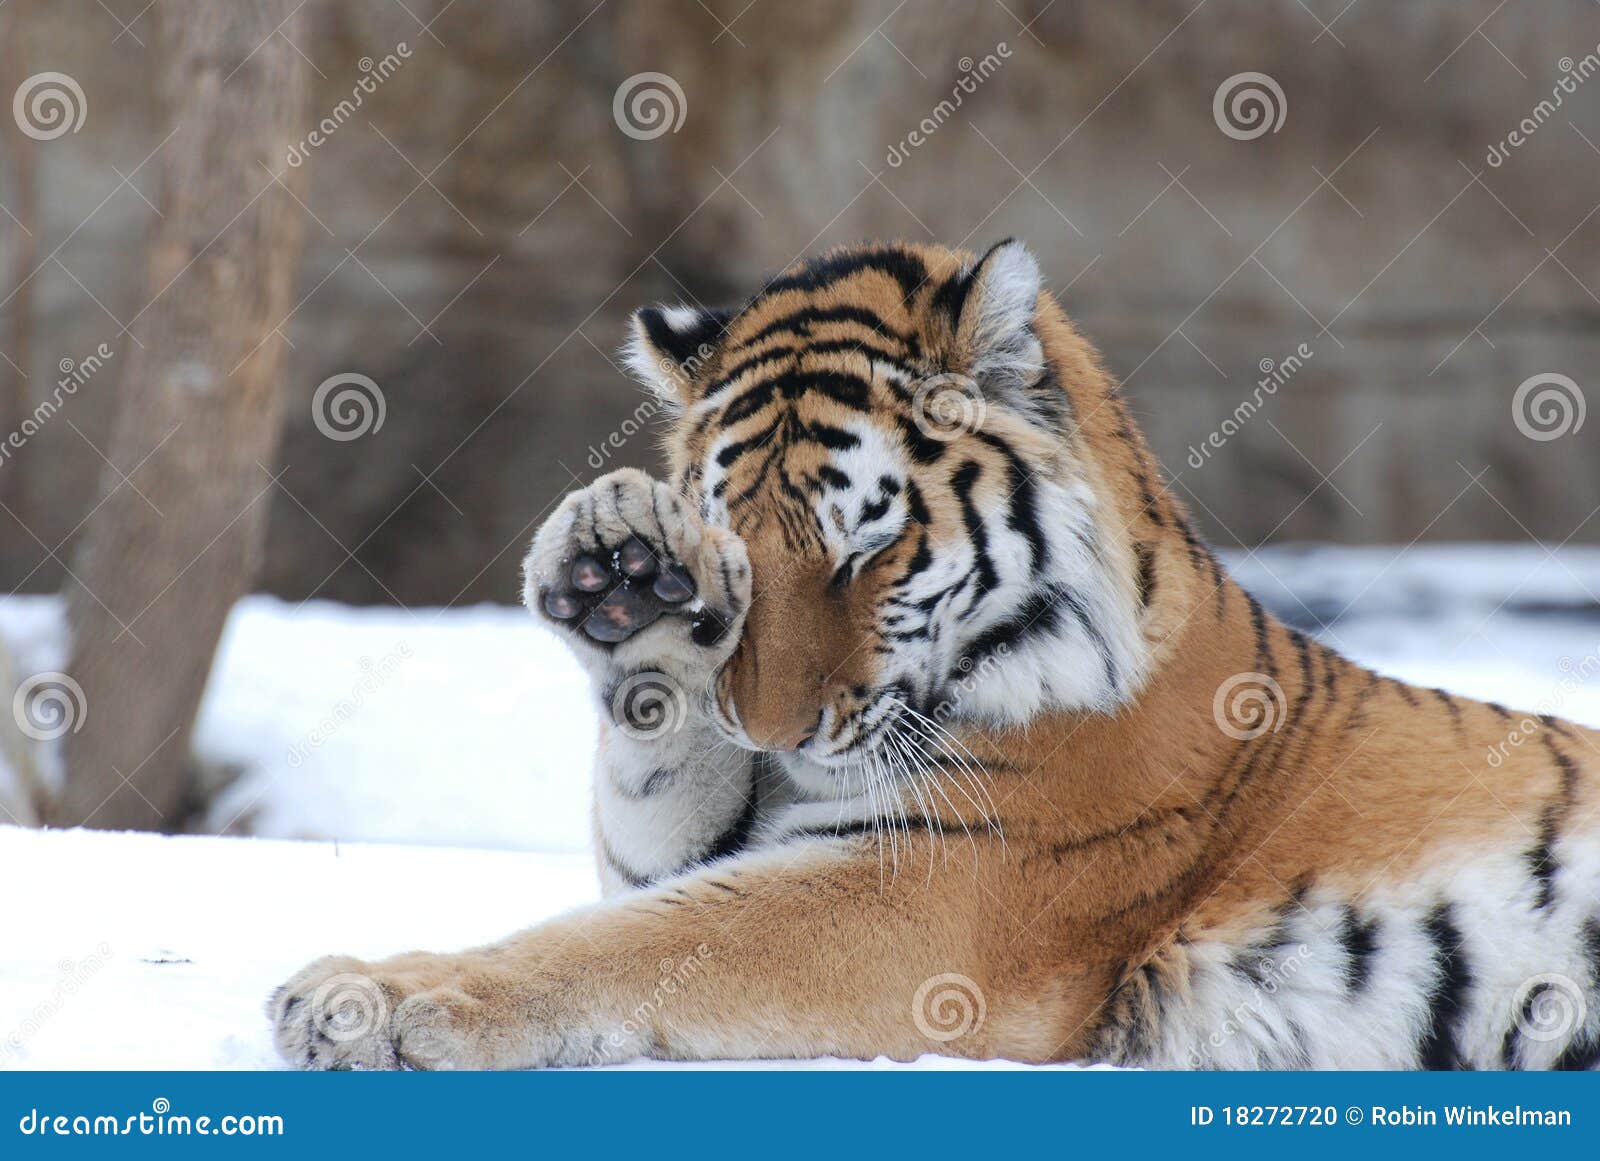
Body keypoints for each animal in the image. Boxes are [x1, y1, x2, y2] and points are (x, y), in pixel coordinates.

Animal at [269, 239, 1600, 1070]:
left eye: (867, 549)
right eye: (734, 545)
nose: (773, 732)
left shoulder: (939, 893)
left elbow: (635, 943)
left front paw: (363, 1000)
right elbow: (647, 833)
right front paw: (623, 564)